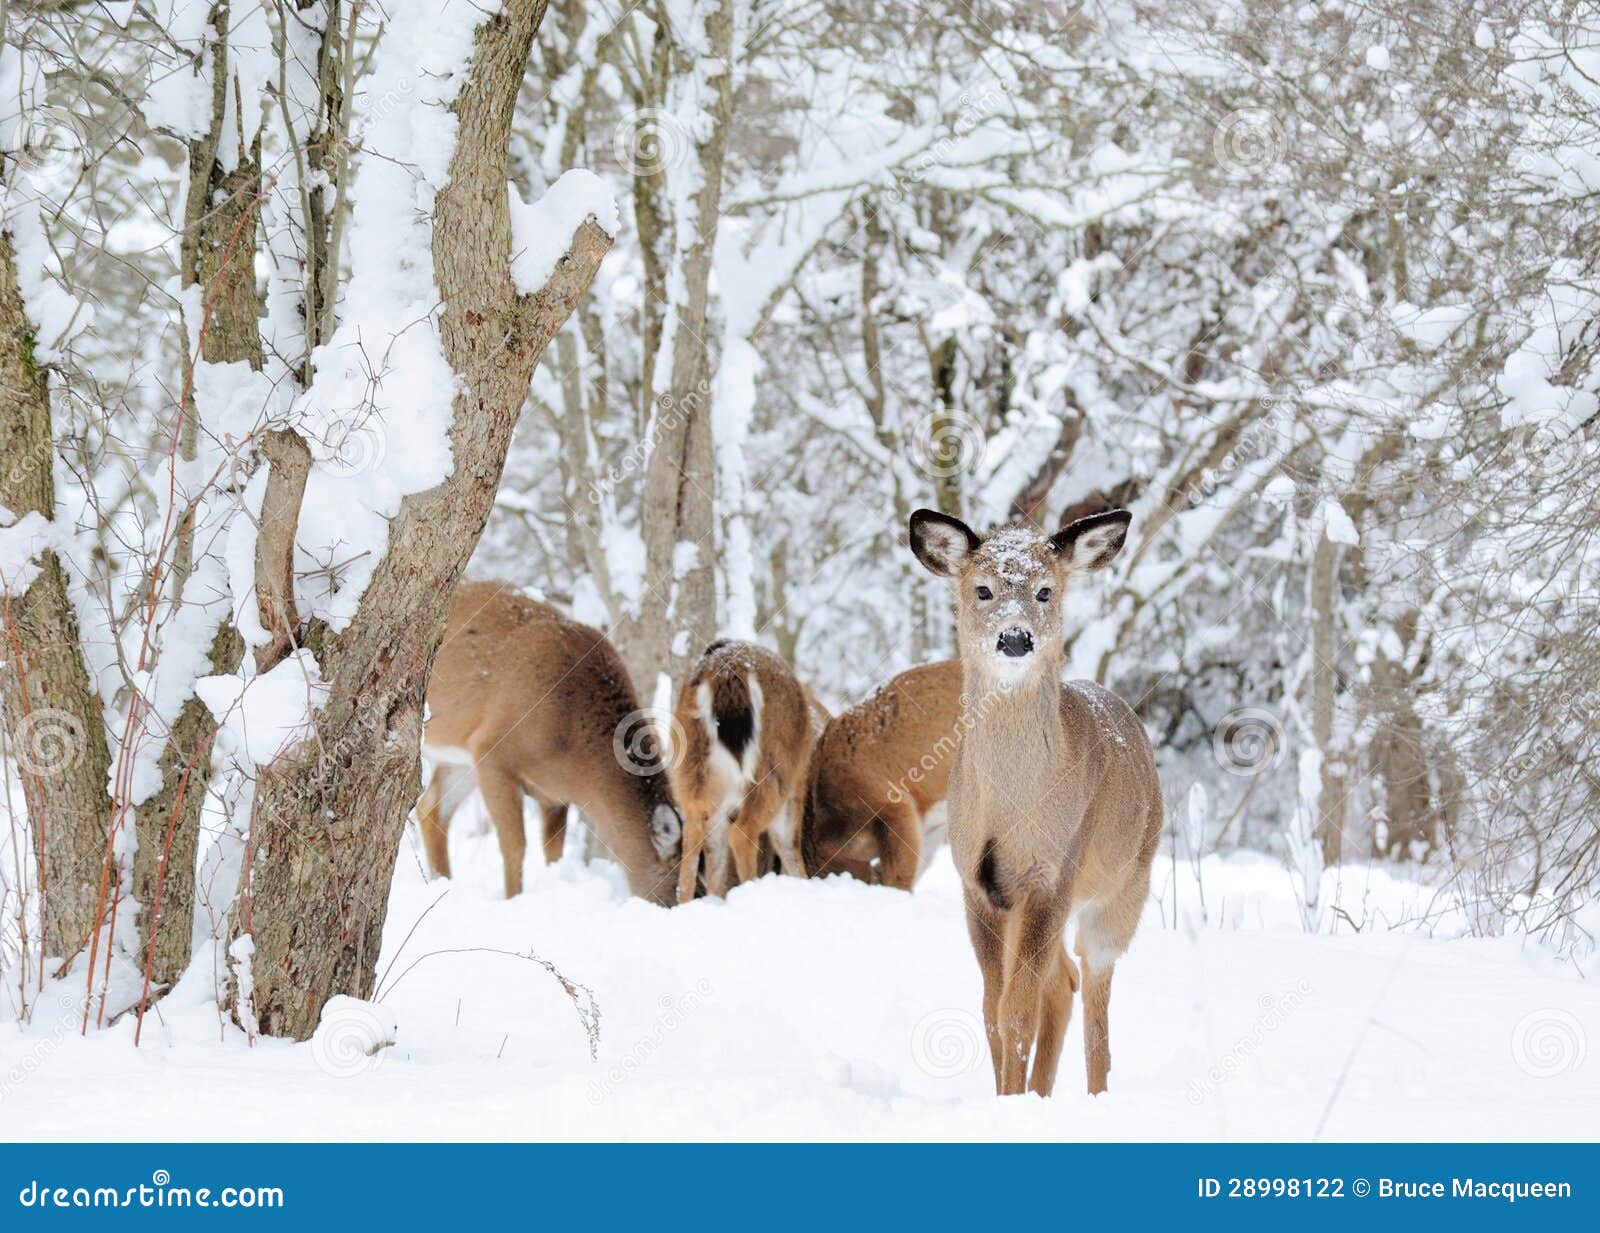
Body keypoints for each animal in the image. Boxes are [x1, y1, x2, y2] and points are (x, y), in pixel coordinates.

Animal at [419, 580, 682, 905]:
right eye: (685, 881)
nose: (691, 902)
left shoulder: (555, 795)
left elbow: (553, 851)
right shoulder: (492, 752)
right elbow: (515, 846)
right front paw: (513, 900)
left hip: (458, 759)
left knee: (429, 809)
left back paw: (442, 884)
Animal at [671, 639, 820, 902]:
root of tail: (727, 674)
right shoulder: (795, 787)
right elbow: (789, 845)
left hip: (689, 772)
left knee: (695, 838)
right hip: (772, 770)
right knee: (742, 833)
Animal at [908, 507, 1162, 1097]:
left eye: (1046, 590)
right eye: (982, 588)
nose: (1015, 637)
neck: (1013, 811)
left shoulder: (1053, 873)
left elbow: (1016, 1010)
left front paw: (1010, 1101)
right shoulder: (977, 883)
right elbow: (991, 1009)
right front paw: (1007, 1098)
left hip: (1124, 889)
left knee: (1094, 991)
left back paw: (1096, 1096)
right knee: (1061, 982)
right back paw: (1042, 1093)